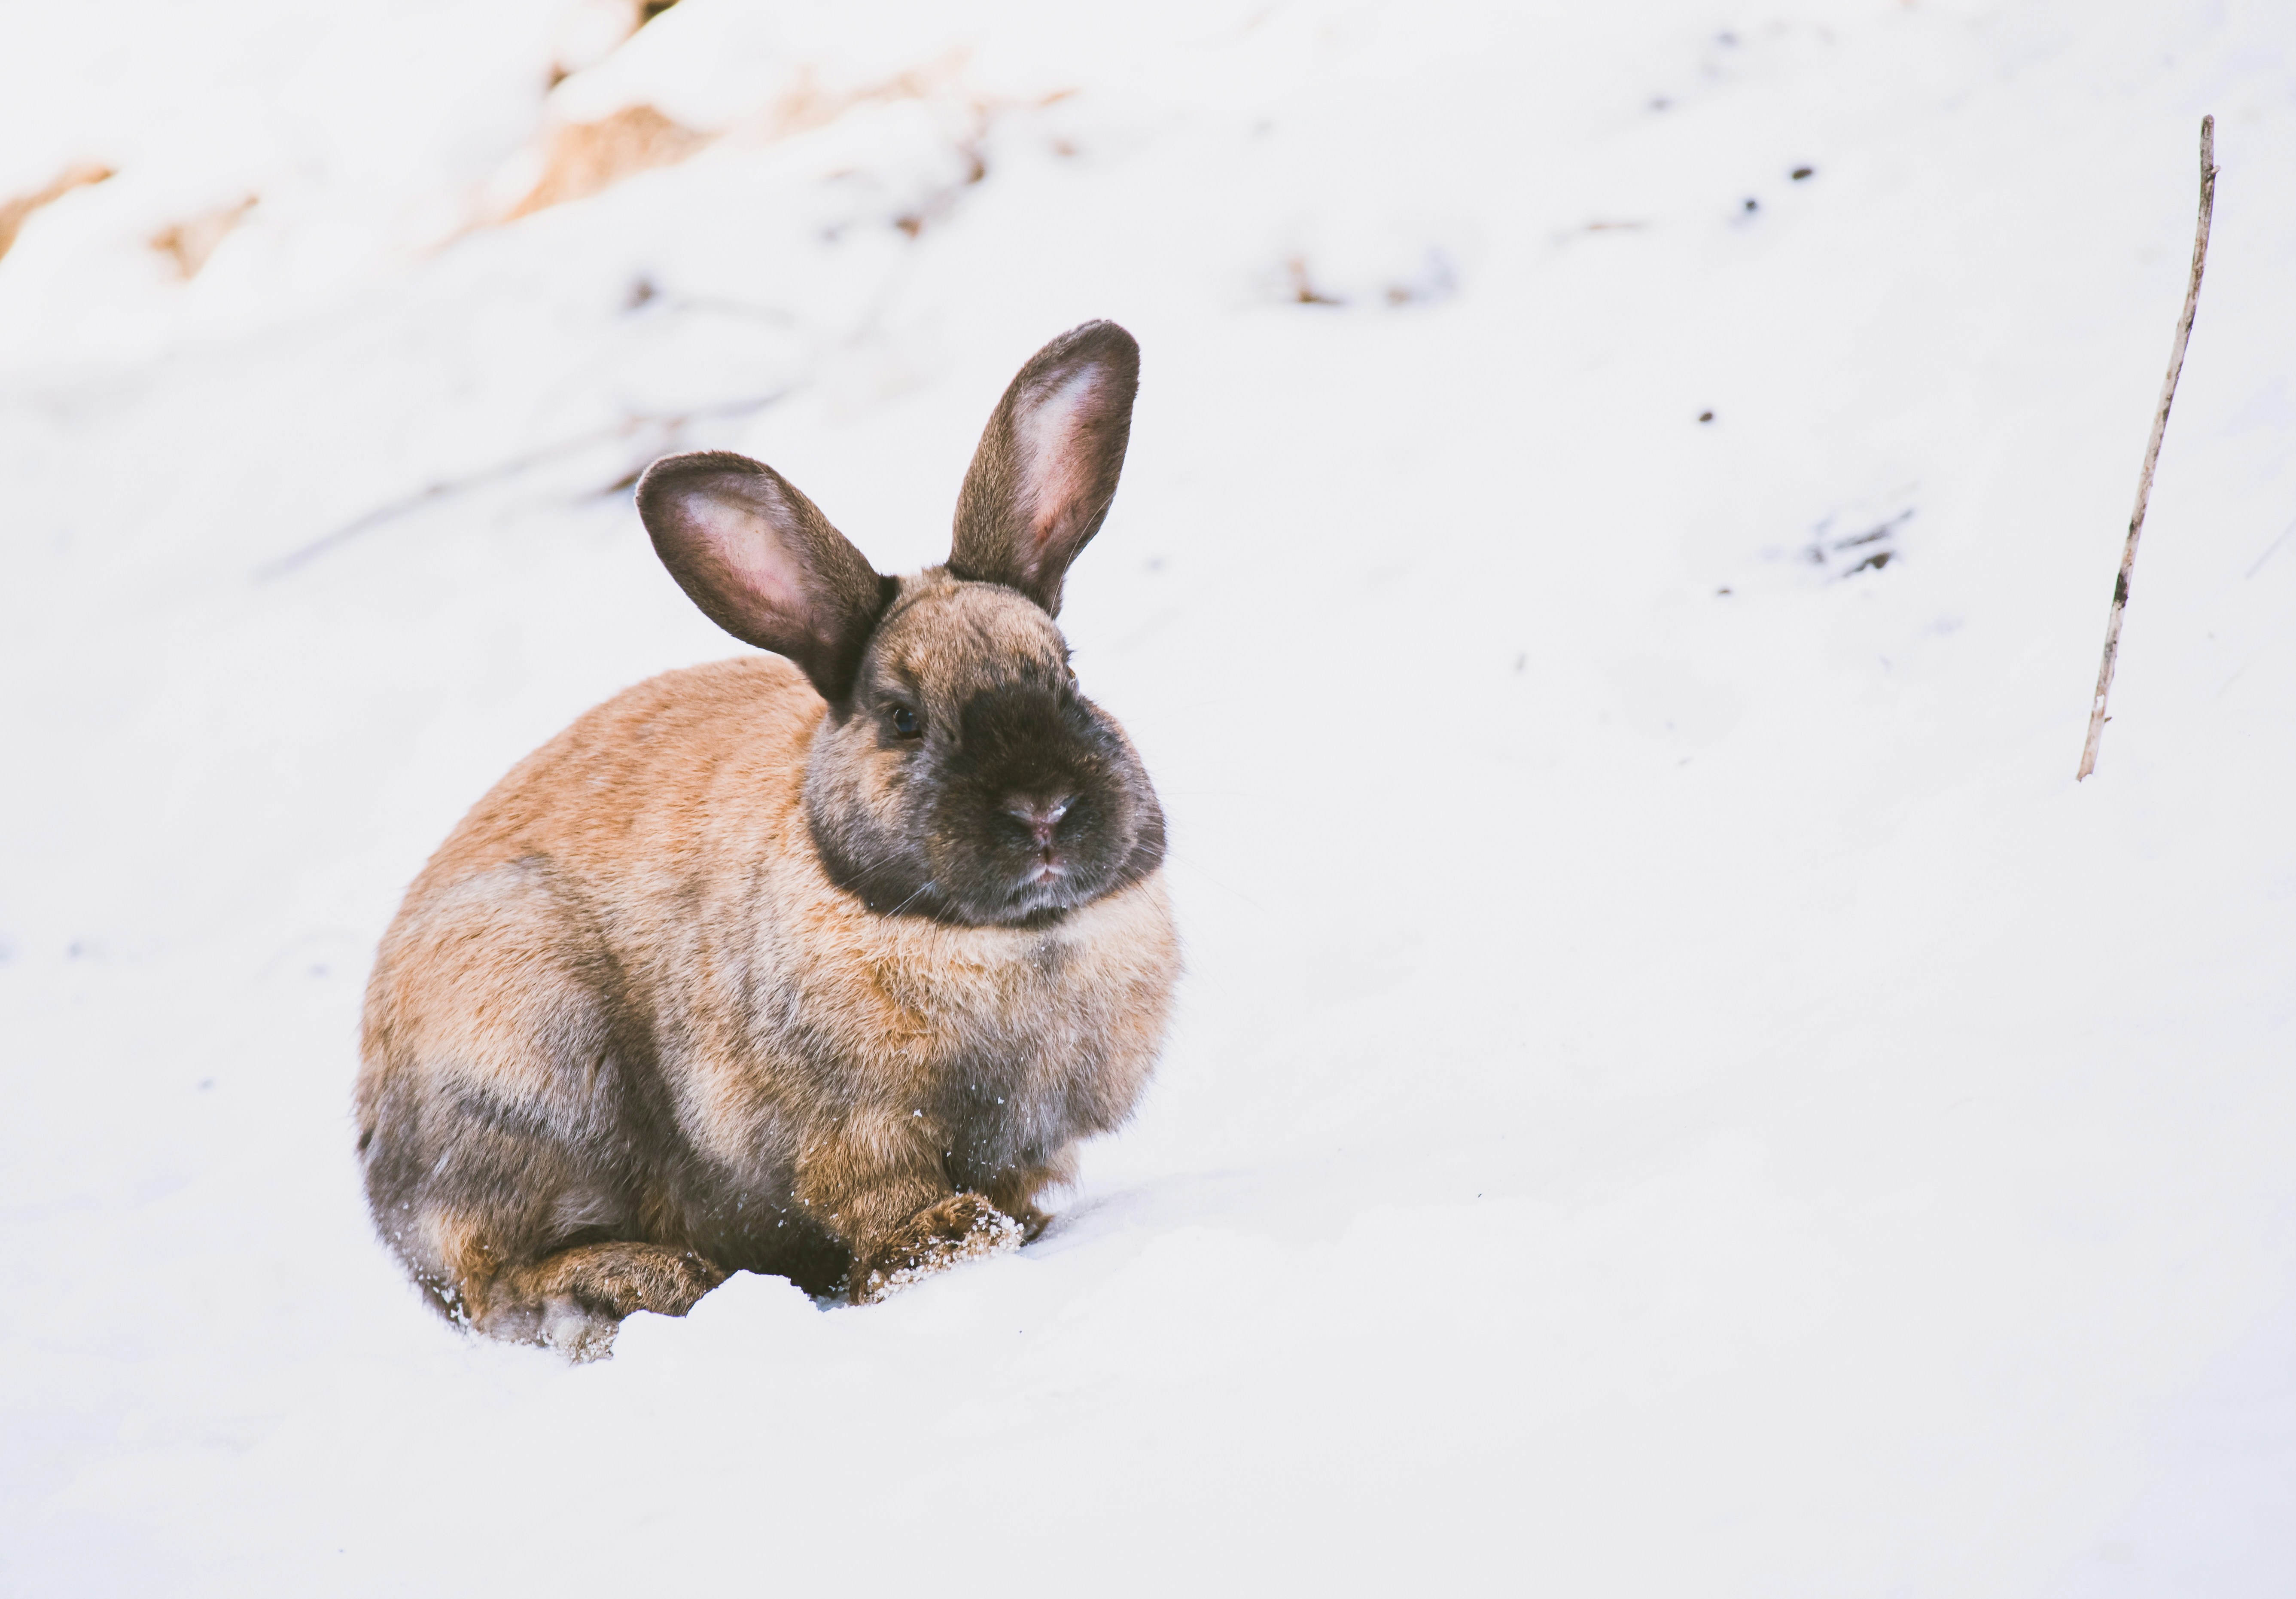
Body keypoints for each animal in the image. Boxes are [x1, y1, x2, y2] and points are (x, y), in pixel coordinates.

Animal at [354, 321, 1177, 1357]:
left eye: (1068, 676)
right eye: (901, 718)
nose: (1043, 810)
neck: (1002, 941)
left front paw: (1005, 1226)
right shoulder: (849, 1133)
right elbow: (879, 1199)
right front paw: (944, 1245)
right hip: (527, 1062)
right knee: (496, 1278)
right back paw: (646, 1280)